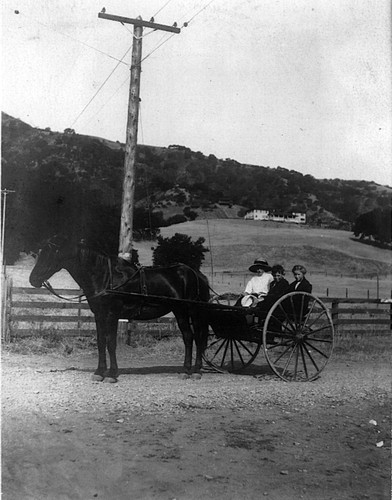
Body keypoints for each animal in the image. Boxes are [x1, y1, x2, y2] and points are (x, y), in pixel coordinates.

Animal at [29, 236, 211, 380]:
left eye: (50, 253)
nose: (33, 279)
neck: (105, 276)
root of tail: (196, 274)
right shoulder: (99, 315)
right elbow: (101, 342)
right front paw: (99, 372)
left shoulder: (112, 314)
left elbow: (111, 342)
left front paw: (111, 374)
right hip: (183, 312)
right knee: (192, 337)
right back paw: (191, 369)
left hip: (188, 311)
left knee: (192, 337)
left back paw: (192, 371)